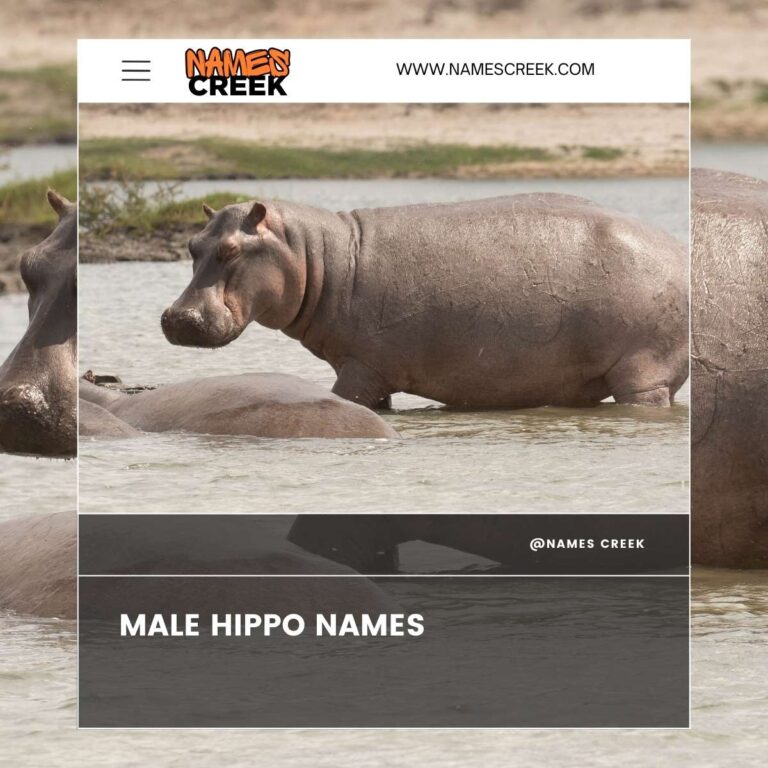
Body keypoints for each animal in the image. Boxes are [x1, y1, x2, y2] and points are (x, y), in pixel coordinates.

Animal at [162, 196, 688, 409]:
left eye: (232, 250)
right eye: (192, 245)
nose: (177, 317)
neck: (317, 254)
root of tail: (680, 250)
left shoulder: (362, 368)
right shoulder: (368, 371)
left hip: (642, 373)